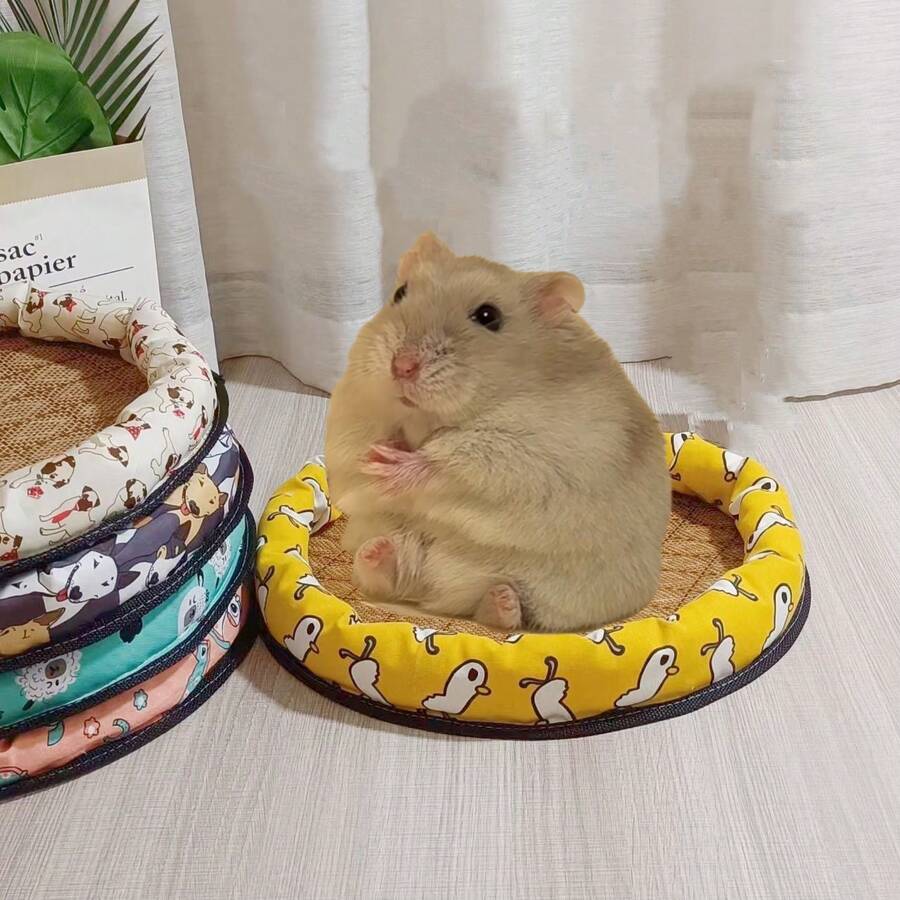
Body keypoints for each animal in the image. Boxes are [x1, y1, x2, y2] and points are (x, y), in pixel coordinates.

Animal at [325, 232, 670, 632]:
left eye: (488, 316)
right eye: (399, 293)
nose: (402, 366)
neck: (431, 418)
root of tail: (443, 599)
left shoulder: (529, 453)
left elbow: (454, 458)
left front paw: (393, 465)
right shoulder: (352, 414)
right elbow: (359, 454)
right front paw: (378, 454)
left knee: (505, 616)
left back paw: (502, 599)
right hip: (397, 542)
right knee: (389, 576)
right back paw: (378, 552)